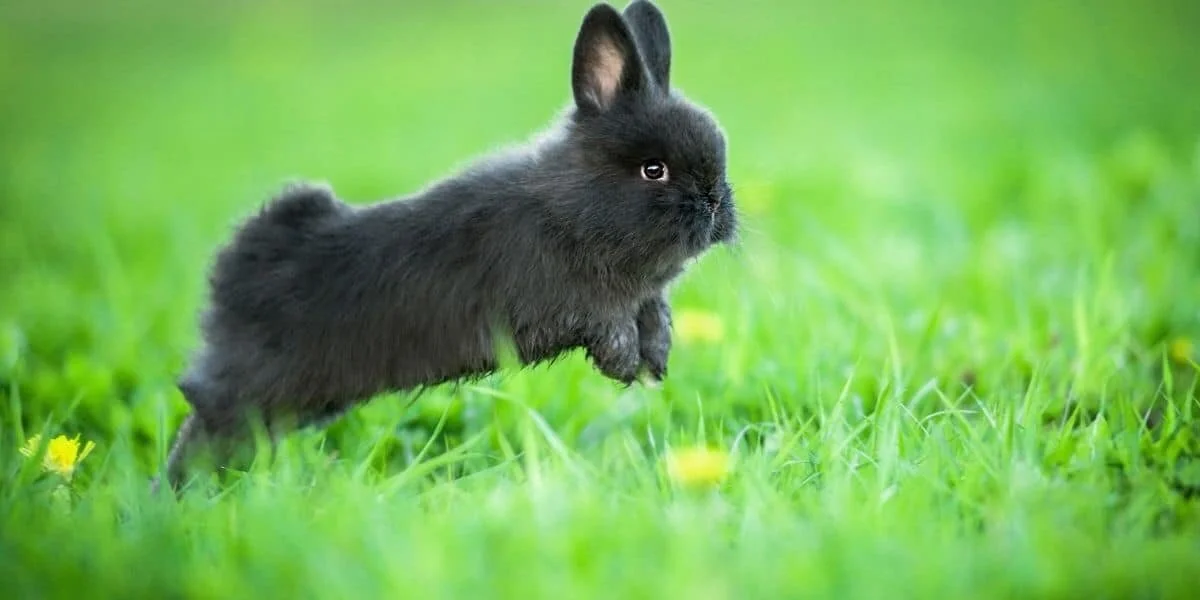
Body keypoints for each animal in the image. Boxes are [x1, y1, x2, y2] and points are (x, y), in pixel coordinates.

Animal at [154, 0, 738, 492]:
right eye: (653, 170)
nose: (713, 202)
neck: (570, 206)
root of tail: (234, 270)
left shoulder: (641, 297)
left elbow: (653, 314)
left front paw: (655, 361)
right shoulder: (565, 302)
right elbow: (604, 324)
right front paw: (625, 366)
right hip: (248, 391)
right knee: (203, 426)